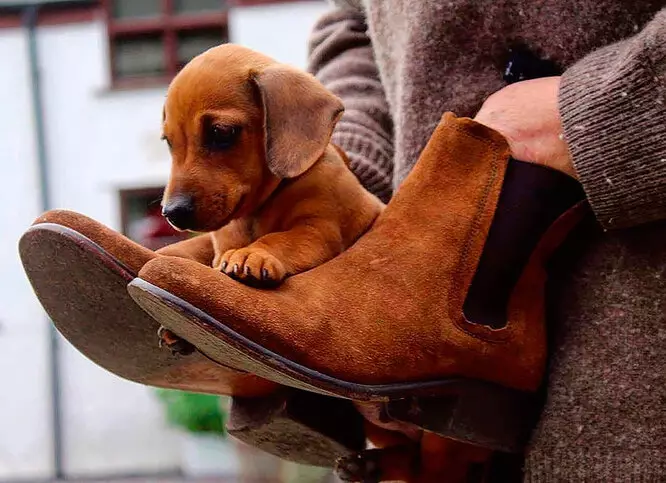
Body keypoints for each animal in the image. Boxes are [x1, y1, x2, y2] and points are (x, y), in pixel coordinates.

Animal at [159, 43, 384, 286]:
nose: (172, 213)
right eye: (169, 142)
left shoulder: (320, 228)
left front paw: (253, 253)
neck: (262, 206)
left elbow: (280, 238)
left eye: (221, 132)